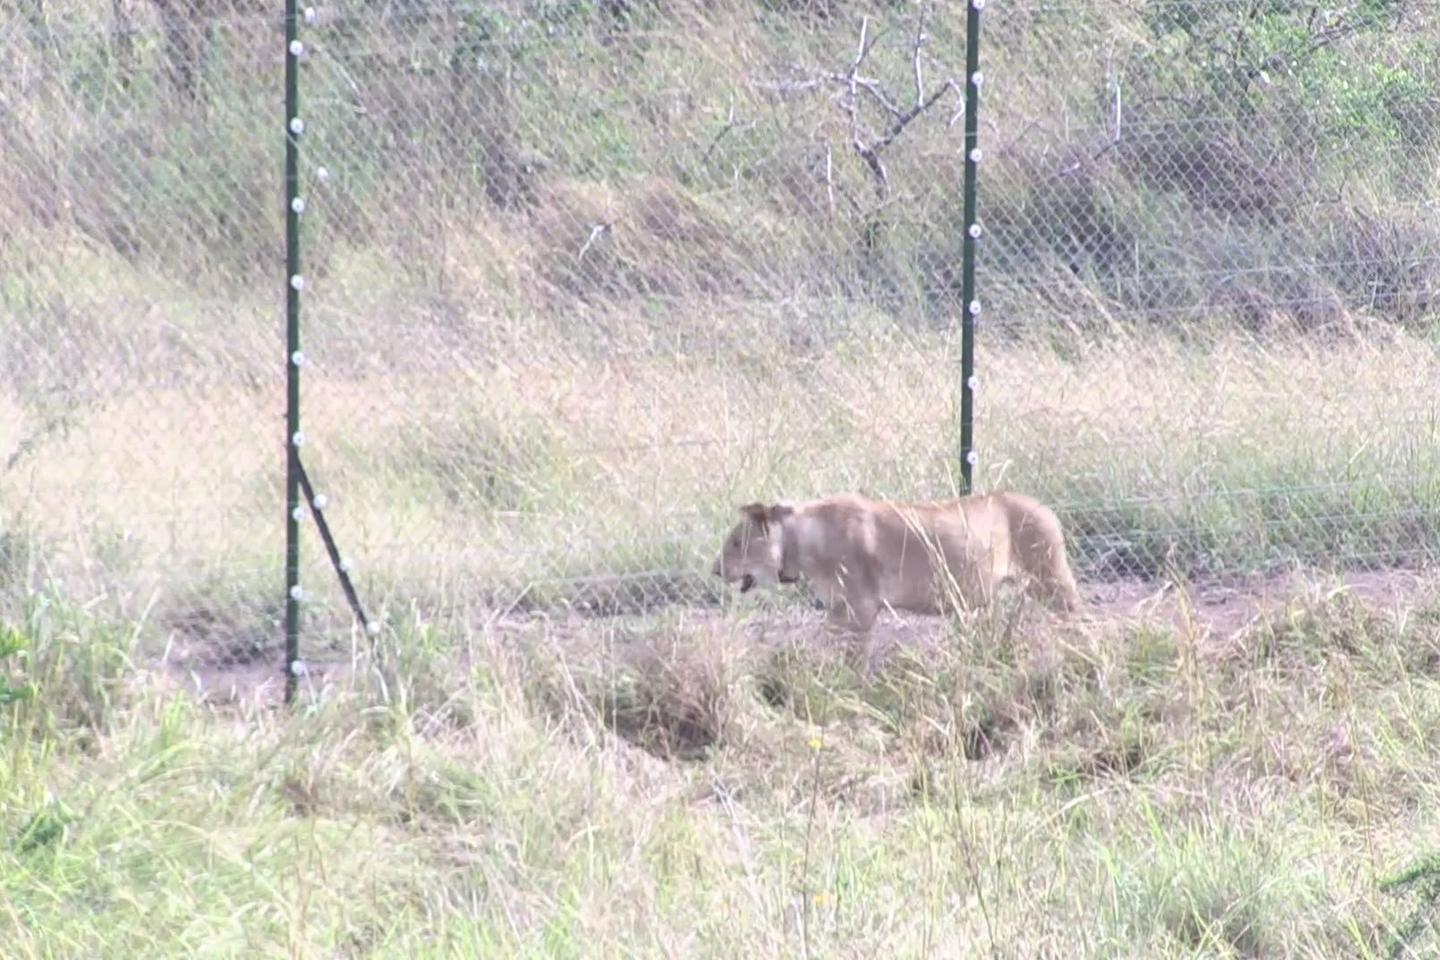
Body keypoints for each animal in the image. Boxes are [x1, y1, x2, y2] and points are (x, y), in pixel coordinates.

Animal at [711, 491, 1082, 636]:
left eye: (736, 542)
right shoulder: (842, 608)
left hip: (1053, 581)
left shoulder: (859, 609)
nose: (715, 570)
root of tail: (1047, 508)